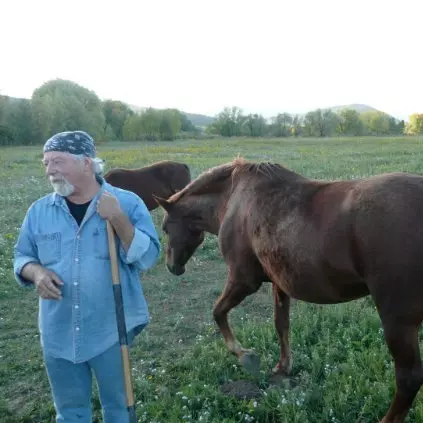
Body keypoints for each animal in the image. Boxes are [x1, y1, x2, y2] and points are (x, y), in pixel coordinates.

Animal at [155, 157, 423, 423]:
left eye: (166, 228)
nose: (172, 266)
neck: (233, 198)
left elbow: (218, 312)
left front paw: (245, 356)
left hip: (397, 319)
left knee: (408, 378)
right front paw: (283, 366)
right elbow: (281, 324)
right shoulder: (280, 282)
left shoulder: (243, 280)